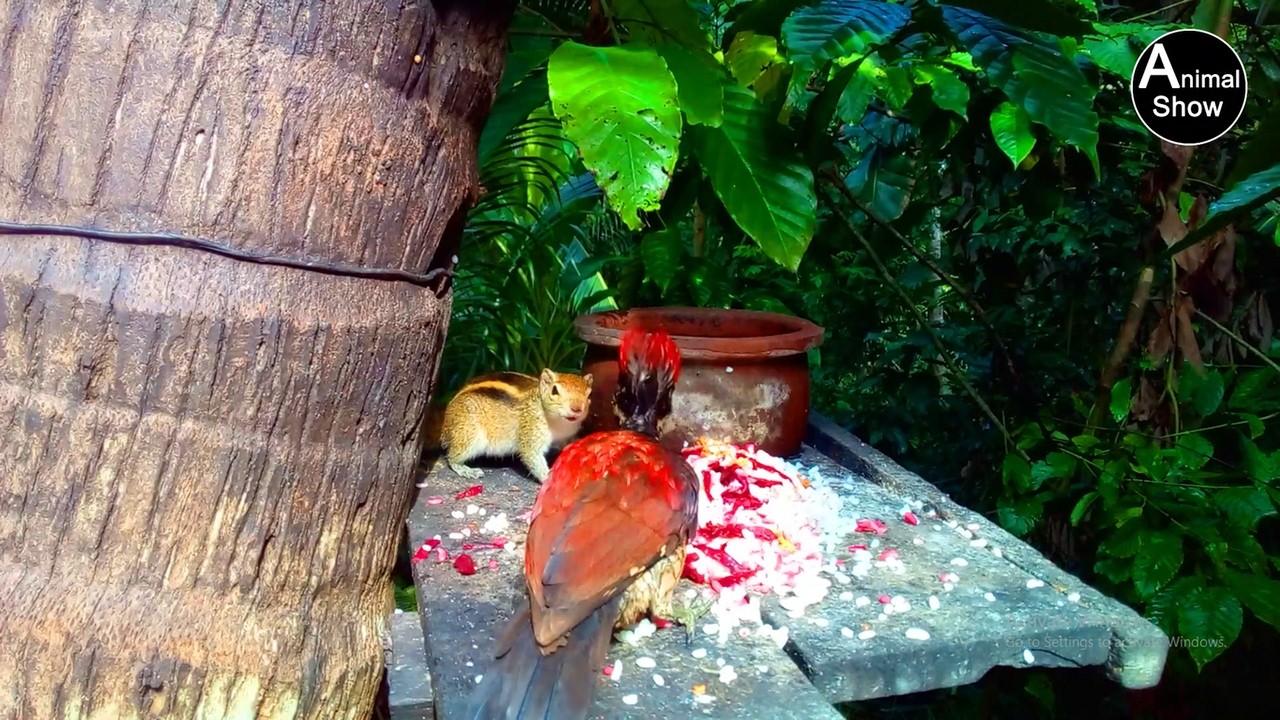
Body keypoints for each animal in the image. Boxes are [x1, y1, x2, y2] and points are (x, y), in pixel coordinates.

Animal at [423, 369, 594, 482]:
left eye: (589, 394)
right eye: (555, 391)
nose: (577, 408)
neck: (559, 423)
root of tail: (445, 422)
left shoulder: (568, 435)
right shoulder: (530, 430)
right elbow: (532, 456)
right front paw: (548, 478)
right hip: (468, 434)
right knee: (452, 457)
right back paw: (466, 470)